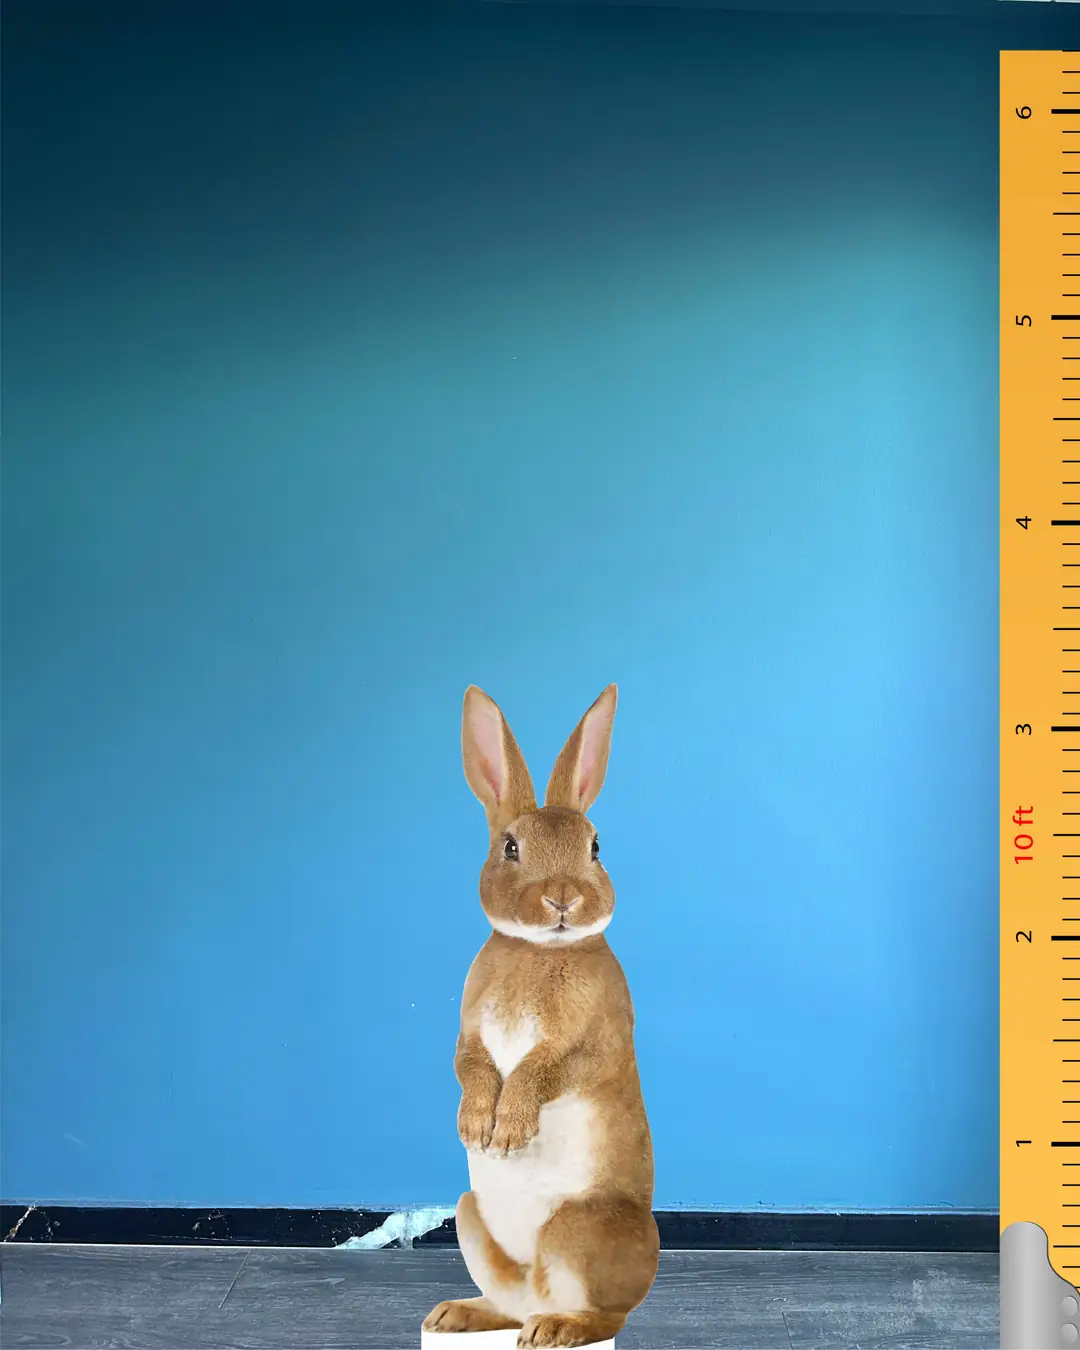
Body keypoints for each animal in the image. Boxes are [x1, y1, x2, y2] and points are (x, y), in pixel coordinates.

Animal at [423, 685, 659, 1349]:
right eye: (510, 847)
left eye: (596, 847)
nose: (563, 899)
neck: (537, 949)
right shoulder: (469, 1032)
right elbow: (470, 1065)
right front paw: (476, 1127)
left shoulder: (593, 1039)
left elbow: (547, 1069)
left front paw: (506, 1132)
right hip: (469, 1217)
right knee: (510, 1301)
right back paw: (453, 1316)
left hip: (576, 1229)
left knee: (605, 1315)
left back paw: (554, 1329)